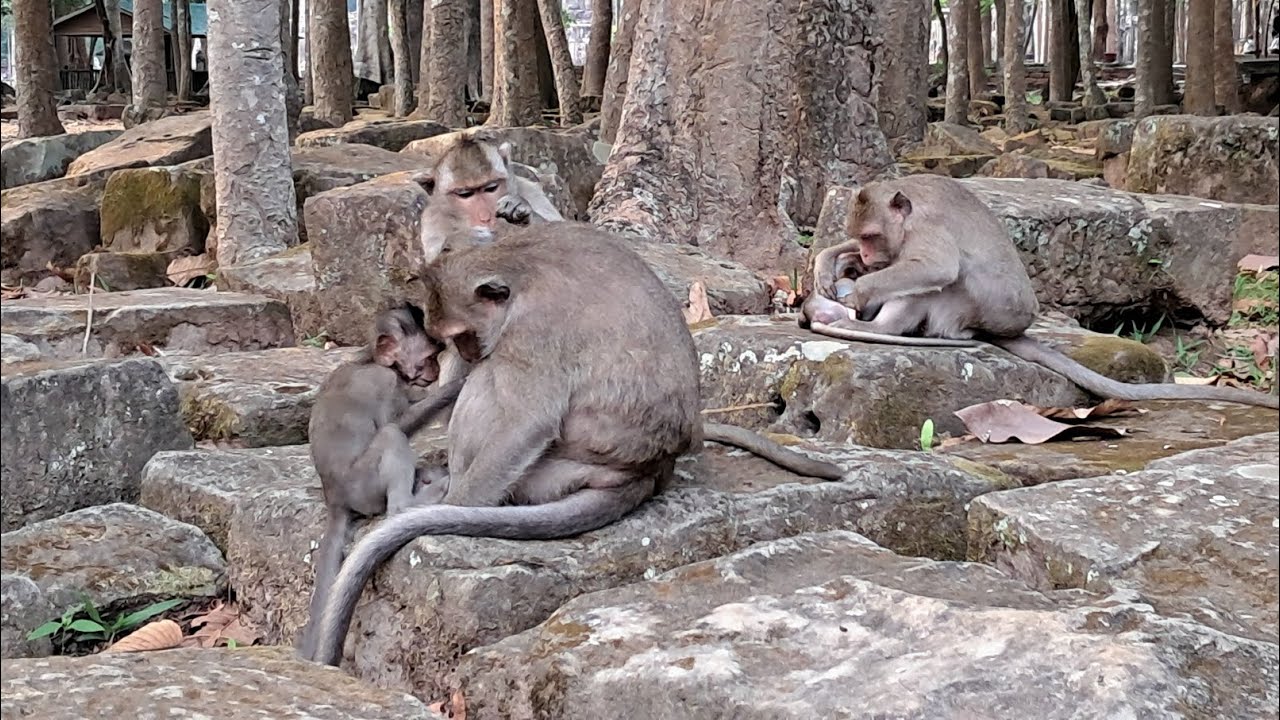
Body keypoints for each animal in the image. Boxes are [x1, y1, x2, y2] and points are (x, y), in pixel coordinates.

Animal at [294, 304, 467, 662]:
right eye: (429, 356)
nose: (434, 371)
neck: (368, 359)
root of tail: (335, 498)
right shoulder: (387, 383)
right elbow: (398, 423)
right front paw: (456, 385)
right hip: (365, 483)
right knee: (390, 436)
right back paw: (418, 499)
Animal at [798, 175, 1280, 409]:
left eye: (871, 235)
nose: (864, 252)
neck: (910, 206)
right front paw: (829, 261)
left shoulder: (927, 228)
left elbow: (935, 267)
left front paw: (857, 292)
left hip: (964, 310)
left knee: (945, 284)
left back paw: (882, 327)